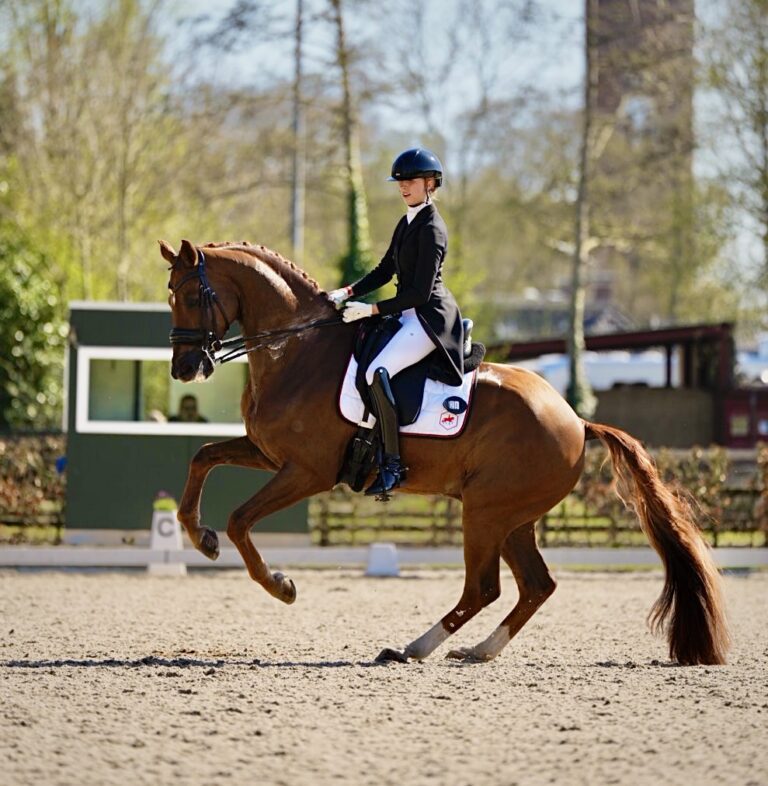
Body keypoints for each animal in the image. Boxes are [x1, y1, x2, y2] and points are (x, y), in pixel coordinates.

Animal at [160, 237, 730, 666]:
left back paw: (413, 648)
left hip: (485, 512)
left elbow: (240, 519)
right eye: (170, 295)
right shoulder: (268, 453)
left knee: (484, 589)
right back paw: (477, 650)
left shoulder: (308, 471)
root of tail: (576, 419)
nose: (185, 369)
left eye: (190, 295)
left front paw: (280, 585)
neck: (297, 352)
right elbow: (202, 457)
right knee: (535, 586)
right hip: (512, 518)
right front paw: (199, 537)